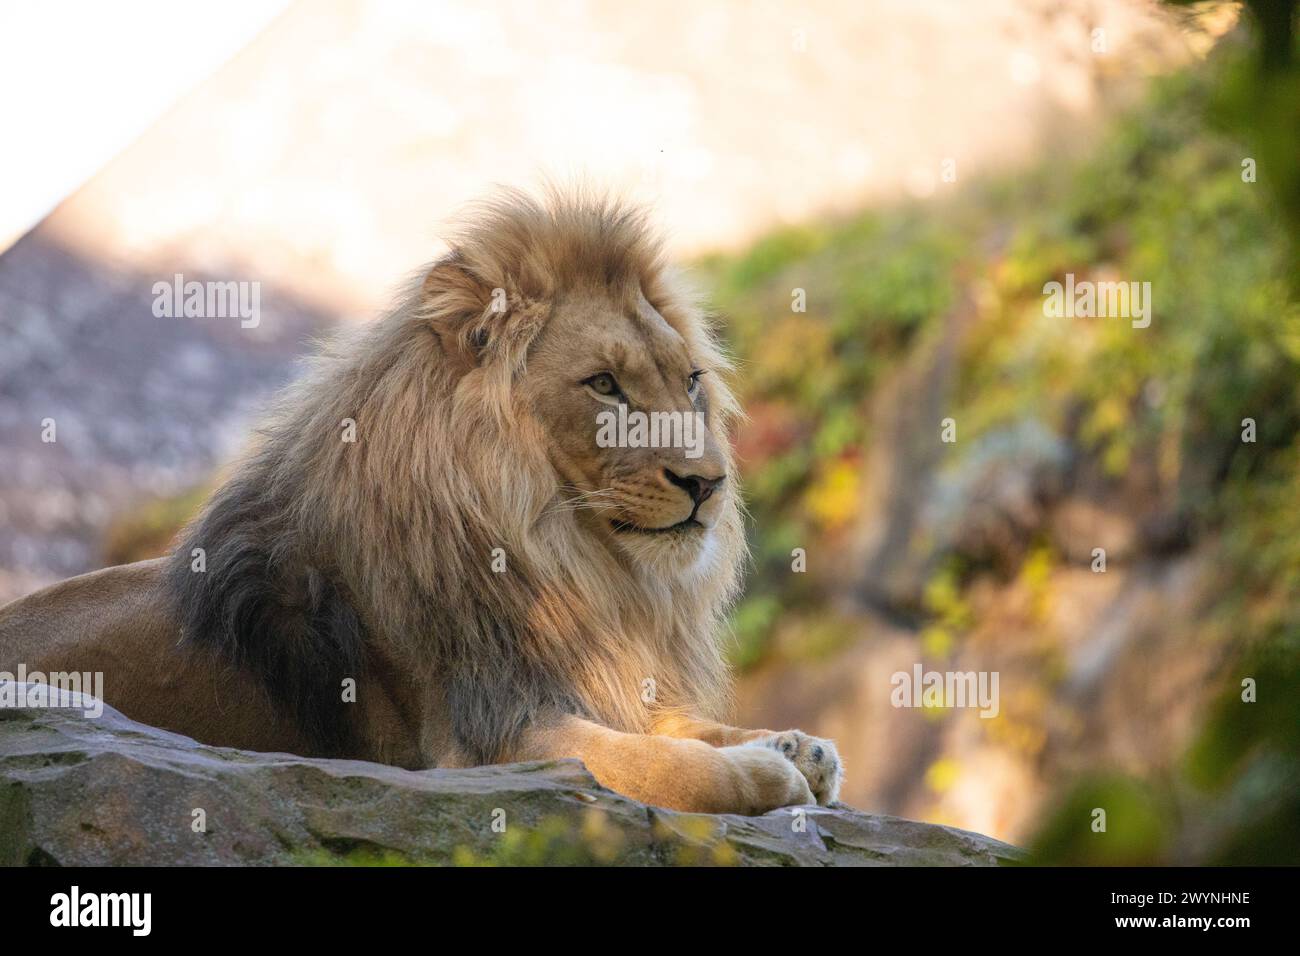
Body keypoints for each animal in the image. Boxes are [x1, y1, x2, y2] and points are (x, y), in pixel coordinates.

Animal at [0, 188, 842, 814]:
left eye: (691, 380)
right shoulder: (481, 743)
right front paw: (766, 770)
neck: (568, 561)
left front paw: (790, 743)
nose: (709, 483)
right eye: (604, 383)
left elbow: (684, 726)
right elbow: (659, 761)